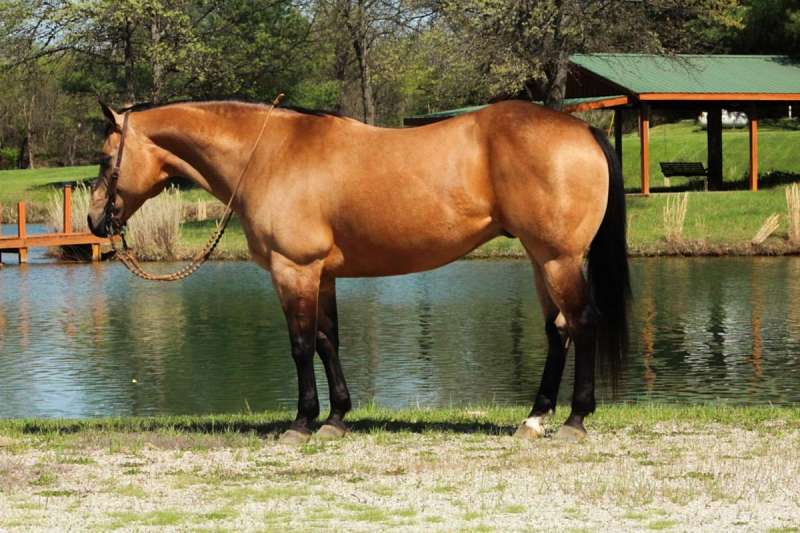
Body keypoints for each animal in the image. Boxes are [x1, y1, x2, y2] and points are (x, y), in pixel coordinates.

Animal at [88, 99, 630, 444]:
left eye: (104, 158)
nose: (95, 221)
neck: (267, 154)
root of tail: (580, 128)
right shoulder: (322, 275)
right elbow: (328, 341)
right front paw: (336, 418)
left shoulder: (294, 271)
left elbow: (300, 345)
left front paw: (302, 423)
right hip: (541, 261)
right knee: (557, 331)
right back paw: (534, 419)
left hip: (558, 259)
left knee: (582, 324)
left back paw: (575, 421)